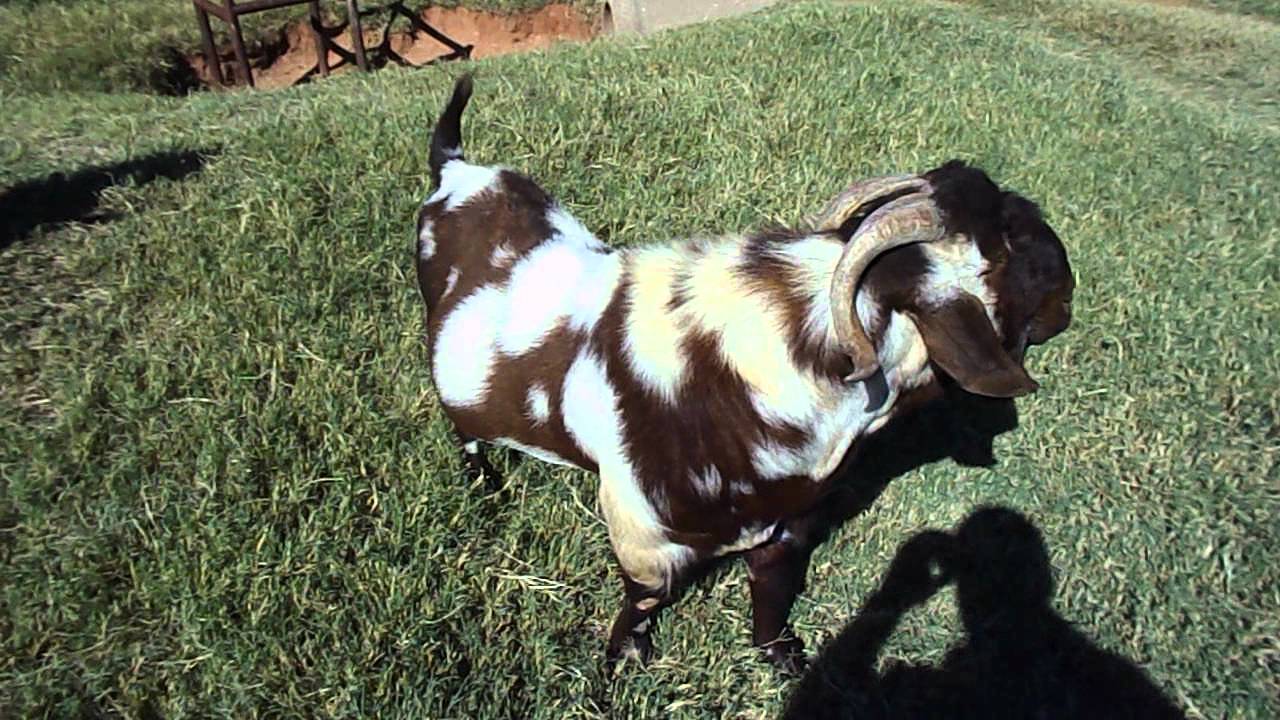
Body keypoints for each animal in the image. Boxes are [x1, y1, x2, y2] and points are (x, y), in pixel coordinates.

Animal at [415, 74, 1075, 672]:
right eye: (1007, 247)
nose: (1068, 291)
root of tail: (458, 171)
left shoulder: (790, 524)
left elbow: (772, 588)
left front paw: (783, 658)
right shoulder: (638, 529)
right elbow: (642, 600)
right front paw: (624, 660)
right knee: (465, 431)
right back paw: (484, 486)